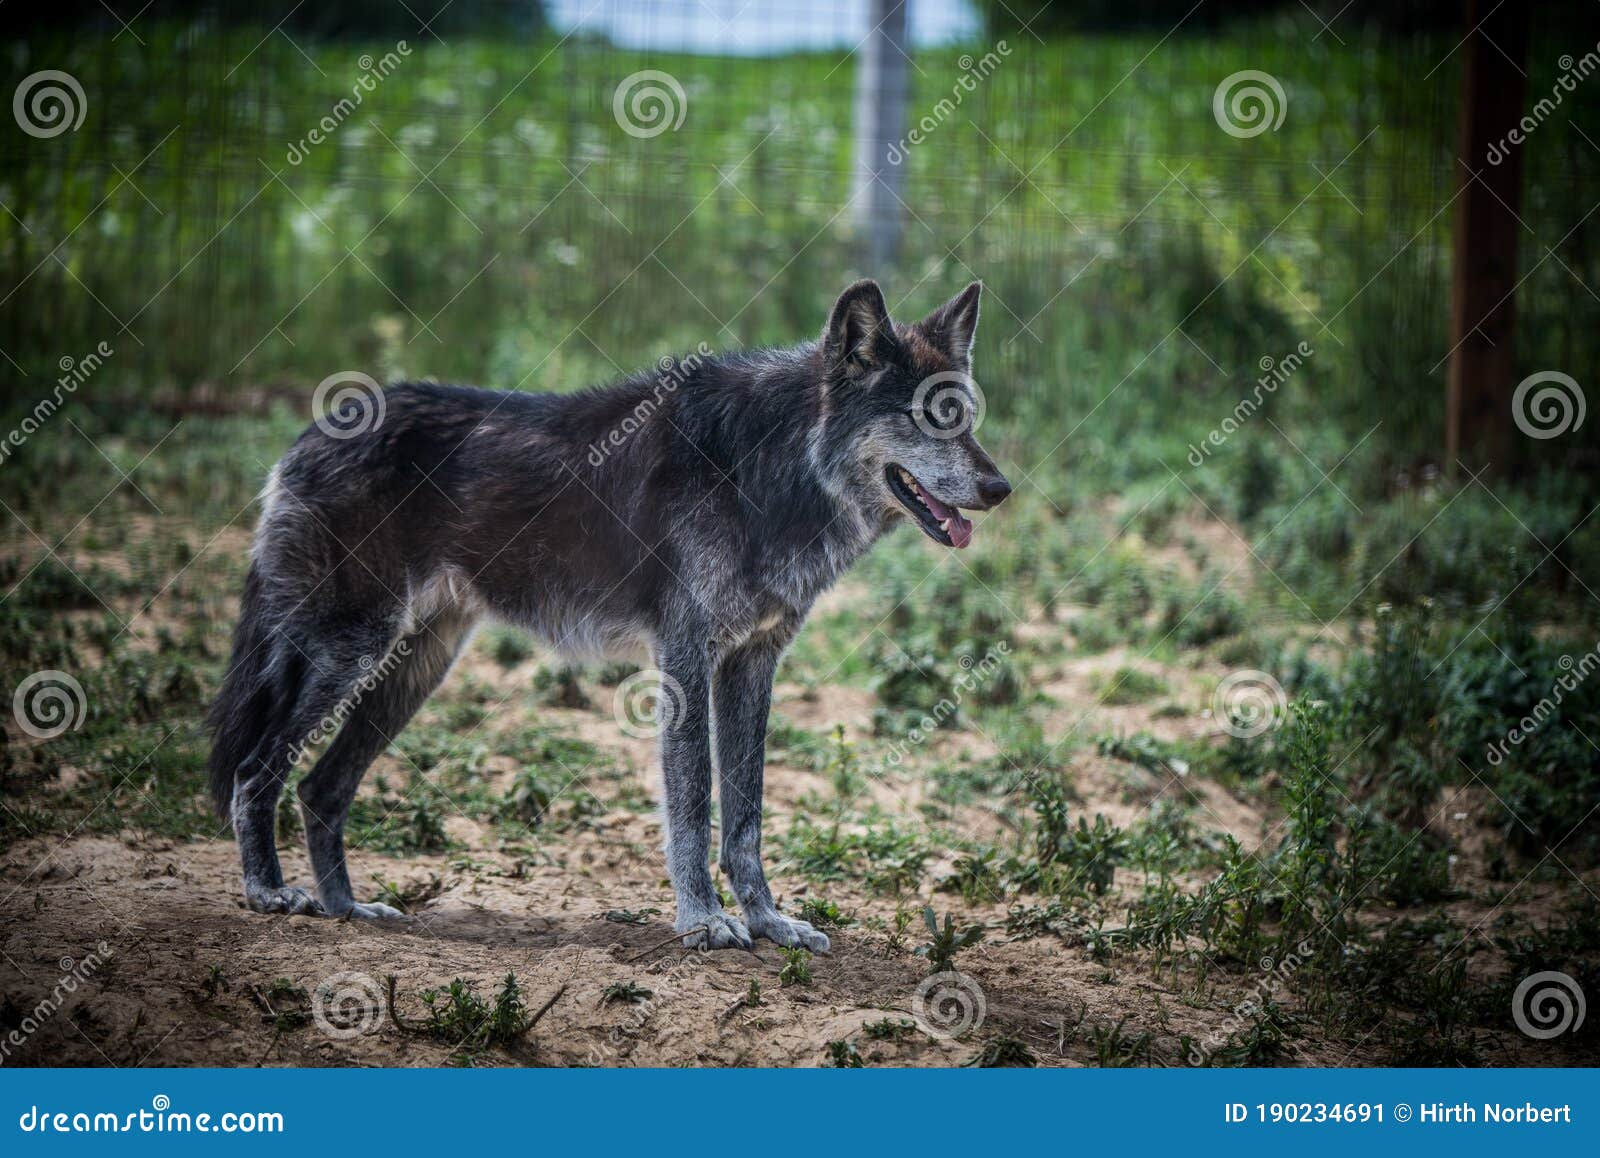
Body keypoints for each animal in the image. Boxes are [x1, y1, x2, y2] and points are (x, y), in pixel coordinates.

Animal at [207, 279, 1012, 950]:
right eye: (924, 419)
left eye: (965, 417)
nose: (1000, 487)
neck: (767, 470)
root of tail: (311, 431)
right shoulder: (684, 660)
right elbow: (691, 806)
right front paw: (704, 923)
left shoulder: (751, 666)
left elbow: (746, 817)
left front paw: (768, 922)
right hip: (350, 653)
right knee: (254, 770)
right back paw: (270, 893)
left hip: (412, 671)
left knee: (320, 788)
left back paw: (347, 909)